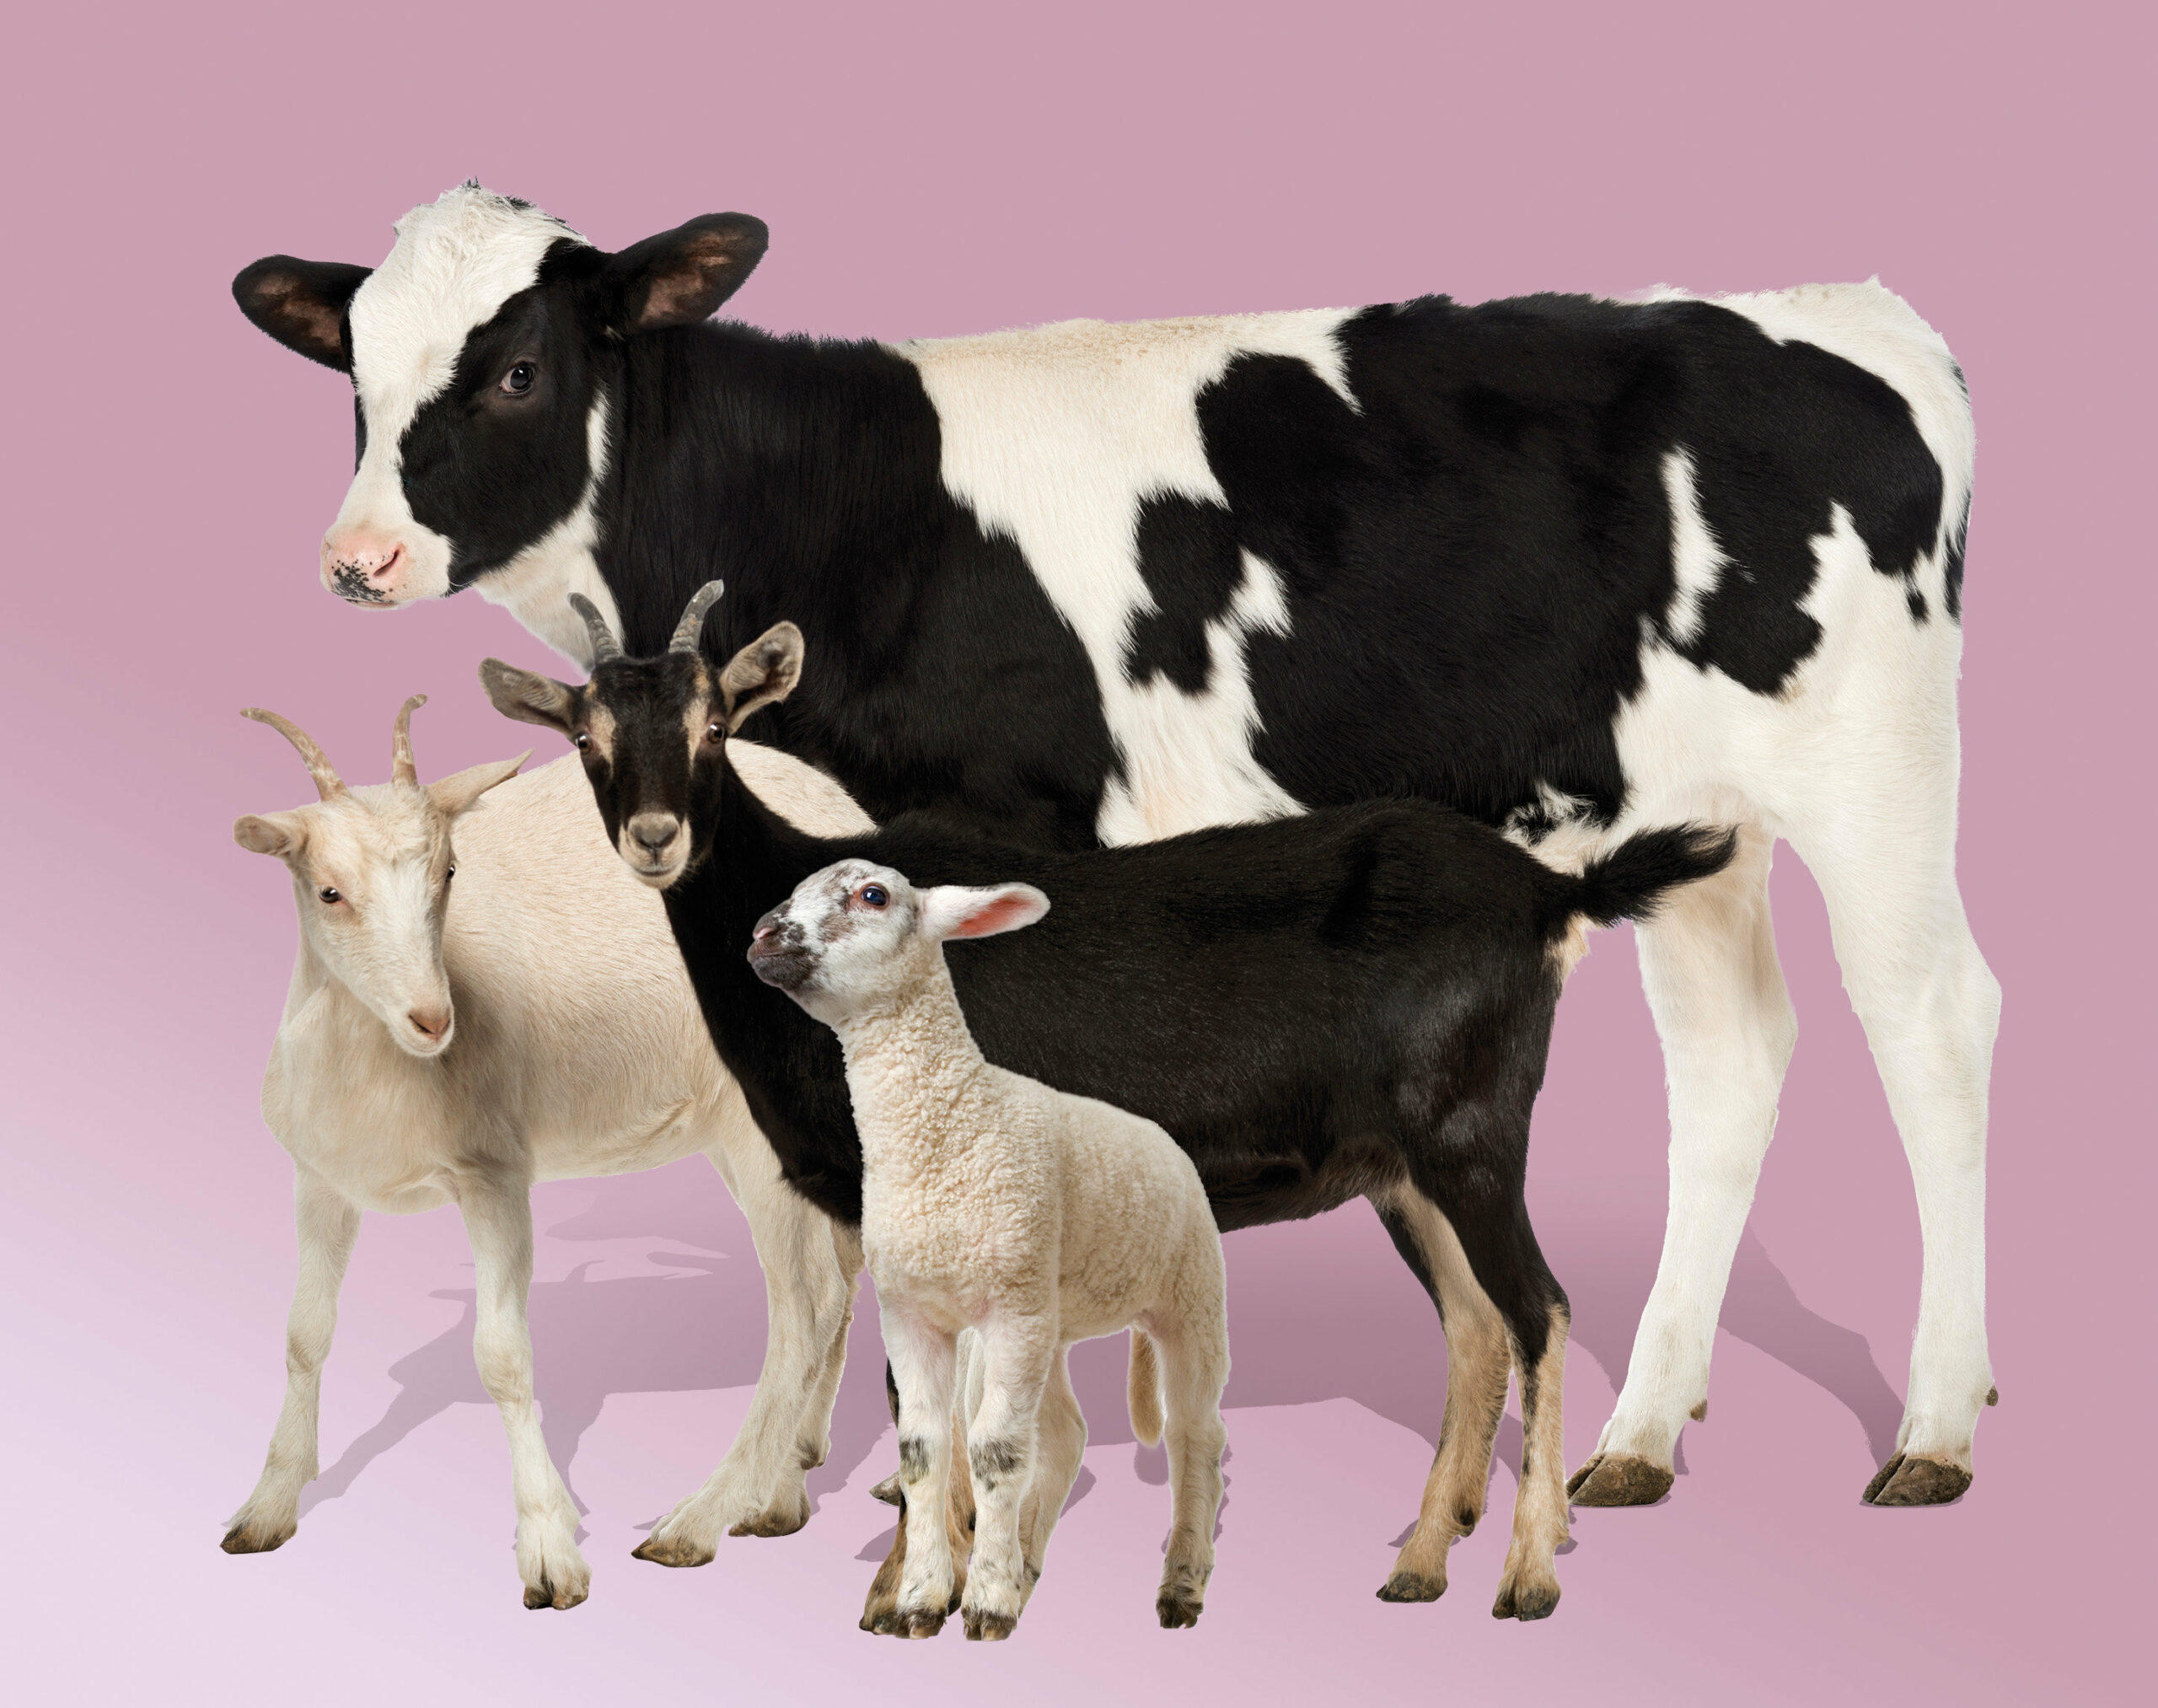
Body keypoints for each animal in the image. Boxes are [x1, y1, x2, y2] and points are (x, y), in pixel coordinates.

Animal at [222, 694, 878, 1609]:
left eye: (449, 873)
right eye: (329, 891)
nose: (433, 1018)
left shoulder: (494, 1171)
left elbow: (502, 1355)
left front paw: (549, 1553)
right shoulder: (321, 1179)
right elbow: (303, 1334)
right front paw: (265, 1508)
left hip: (764, 1121)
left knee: (811, 1300)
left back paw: (698, 1522)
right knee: (846, 1273)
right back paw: (785, 1489)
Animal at [748, 859, 1231, 1637]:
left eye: (873, 895)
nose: (763, 935)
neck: (955, 1125)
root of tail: (1159, 1133)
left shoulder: (1010, 1306)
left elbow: (994, 1452)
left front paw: (988, 1605)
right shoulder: (913, 1311)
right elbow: (925, 1452)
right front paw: (923, 1597)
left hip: (1190, 1294)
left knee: (1197, 1434)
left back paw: (1181, 1585)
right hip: (1054, 1318)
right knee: (1066, 1435)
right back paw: (1029, 1560)